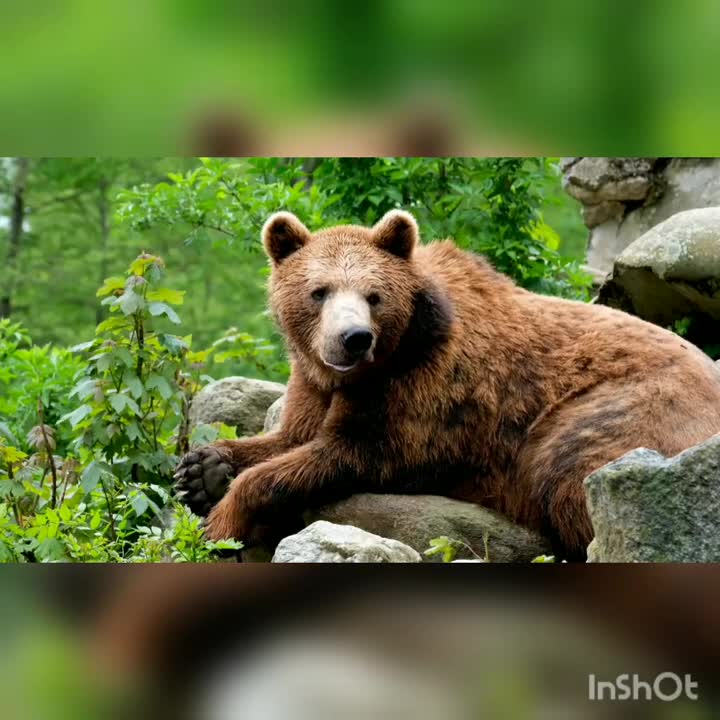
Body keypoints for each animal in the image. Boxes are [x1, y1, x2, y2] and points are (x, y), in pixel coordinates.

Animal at [174, 209, 720, 559]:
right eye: (319, 291)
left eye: (373, 295)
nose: (353, 339)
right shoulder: (314, 384)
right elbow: (288, 436)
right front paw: (202, 470)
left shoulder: (425, 390)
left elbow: (348, 451)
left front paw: (222, 518)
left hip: (619, 410)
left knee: (572, 475)